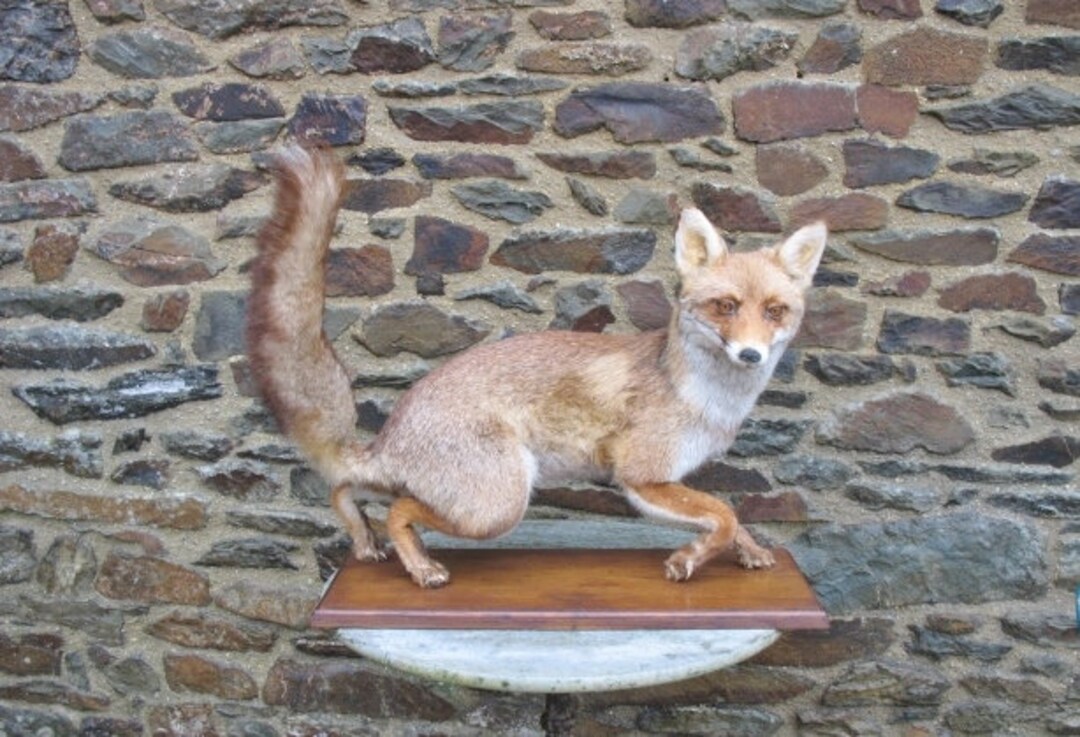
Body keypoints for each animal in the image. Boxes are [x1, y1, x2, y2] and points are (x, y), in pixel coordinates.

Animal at [247, 145, 827, 588]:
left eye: (775, 311)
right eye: (725, 306)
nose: (750, 354)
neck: (705, 398)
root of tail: (394, 431)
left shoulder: (663, 482)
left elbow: (732, 518)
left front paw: (745, 552)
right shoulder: (642, 476)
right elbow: (725, 515)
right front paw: (688, 560)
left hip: (463, 497)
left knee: (349, 488)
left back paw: (365, 540)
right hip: (498, 507)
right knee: (397, 510)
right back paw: (420, 566)